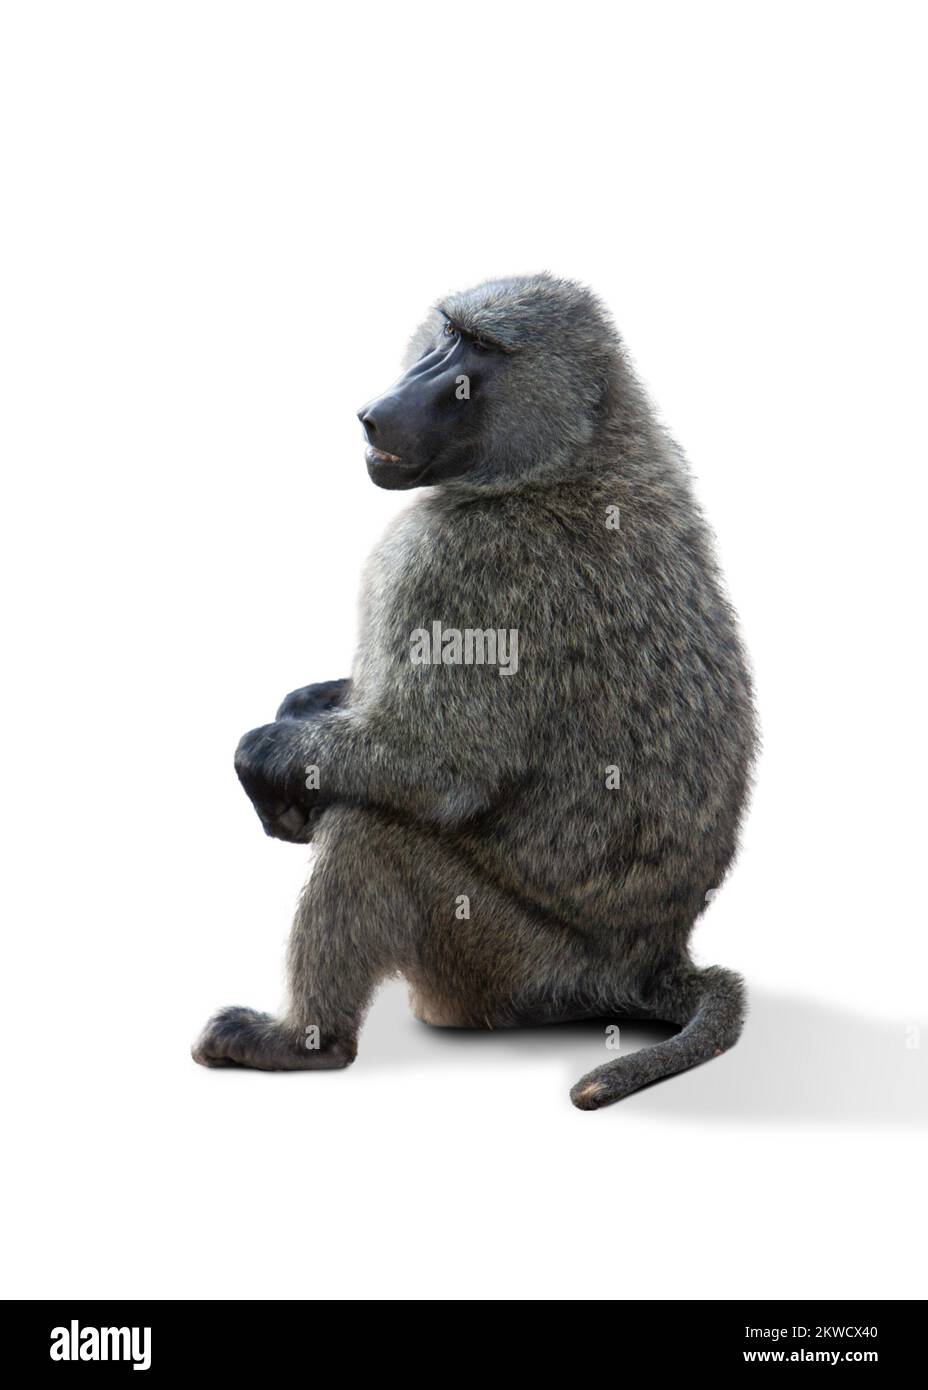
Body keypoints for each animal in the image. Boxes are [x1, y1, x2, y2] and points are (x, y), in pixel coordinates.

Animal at [192, 273, 757, 1109]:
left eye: (482, 352)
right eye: (449, 331)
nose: (377, 411)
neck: (572, 453)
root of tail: (653, 963)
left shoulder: (456, 565)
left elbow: (440, 768)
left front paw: (262, 756)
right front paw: (298, 719)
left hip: (513, 961)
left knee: (372, 831)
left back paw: (302, 1042)